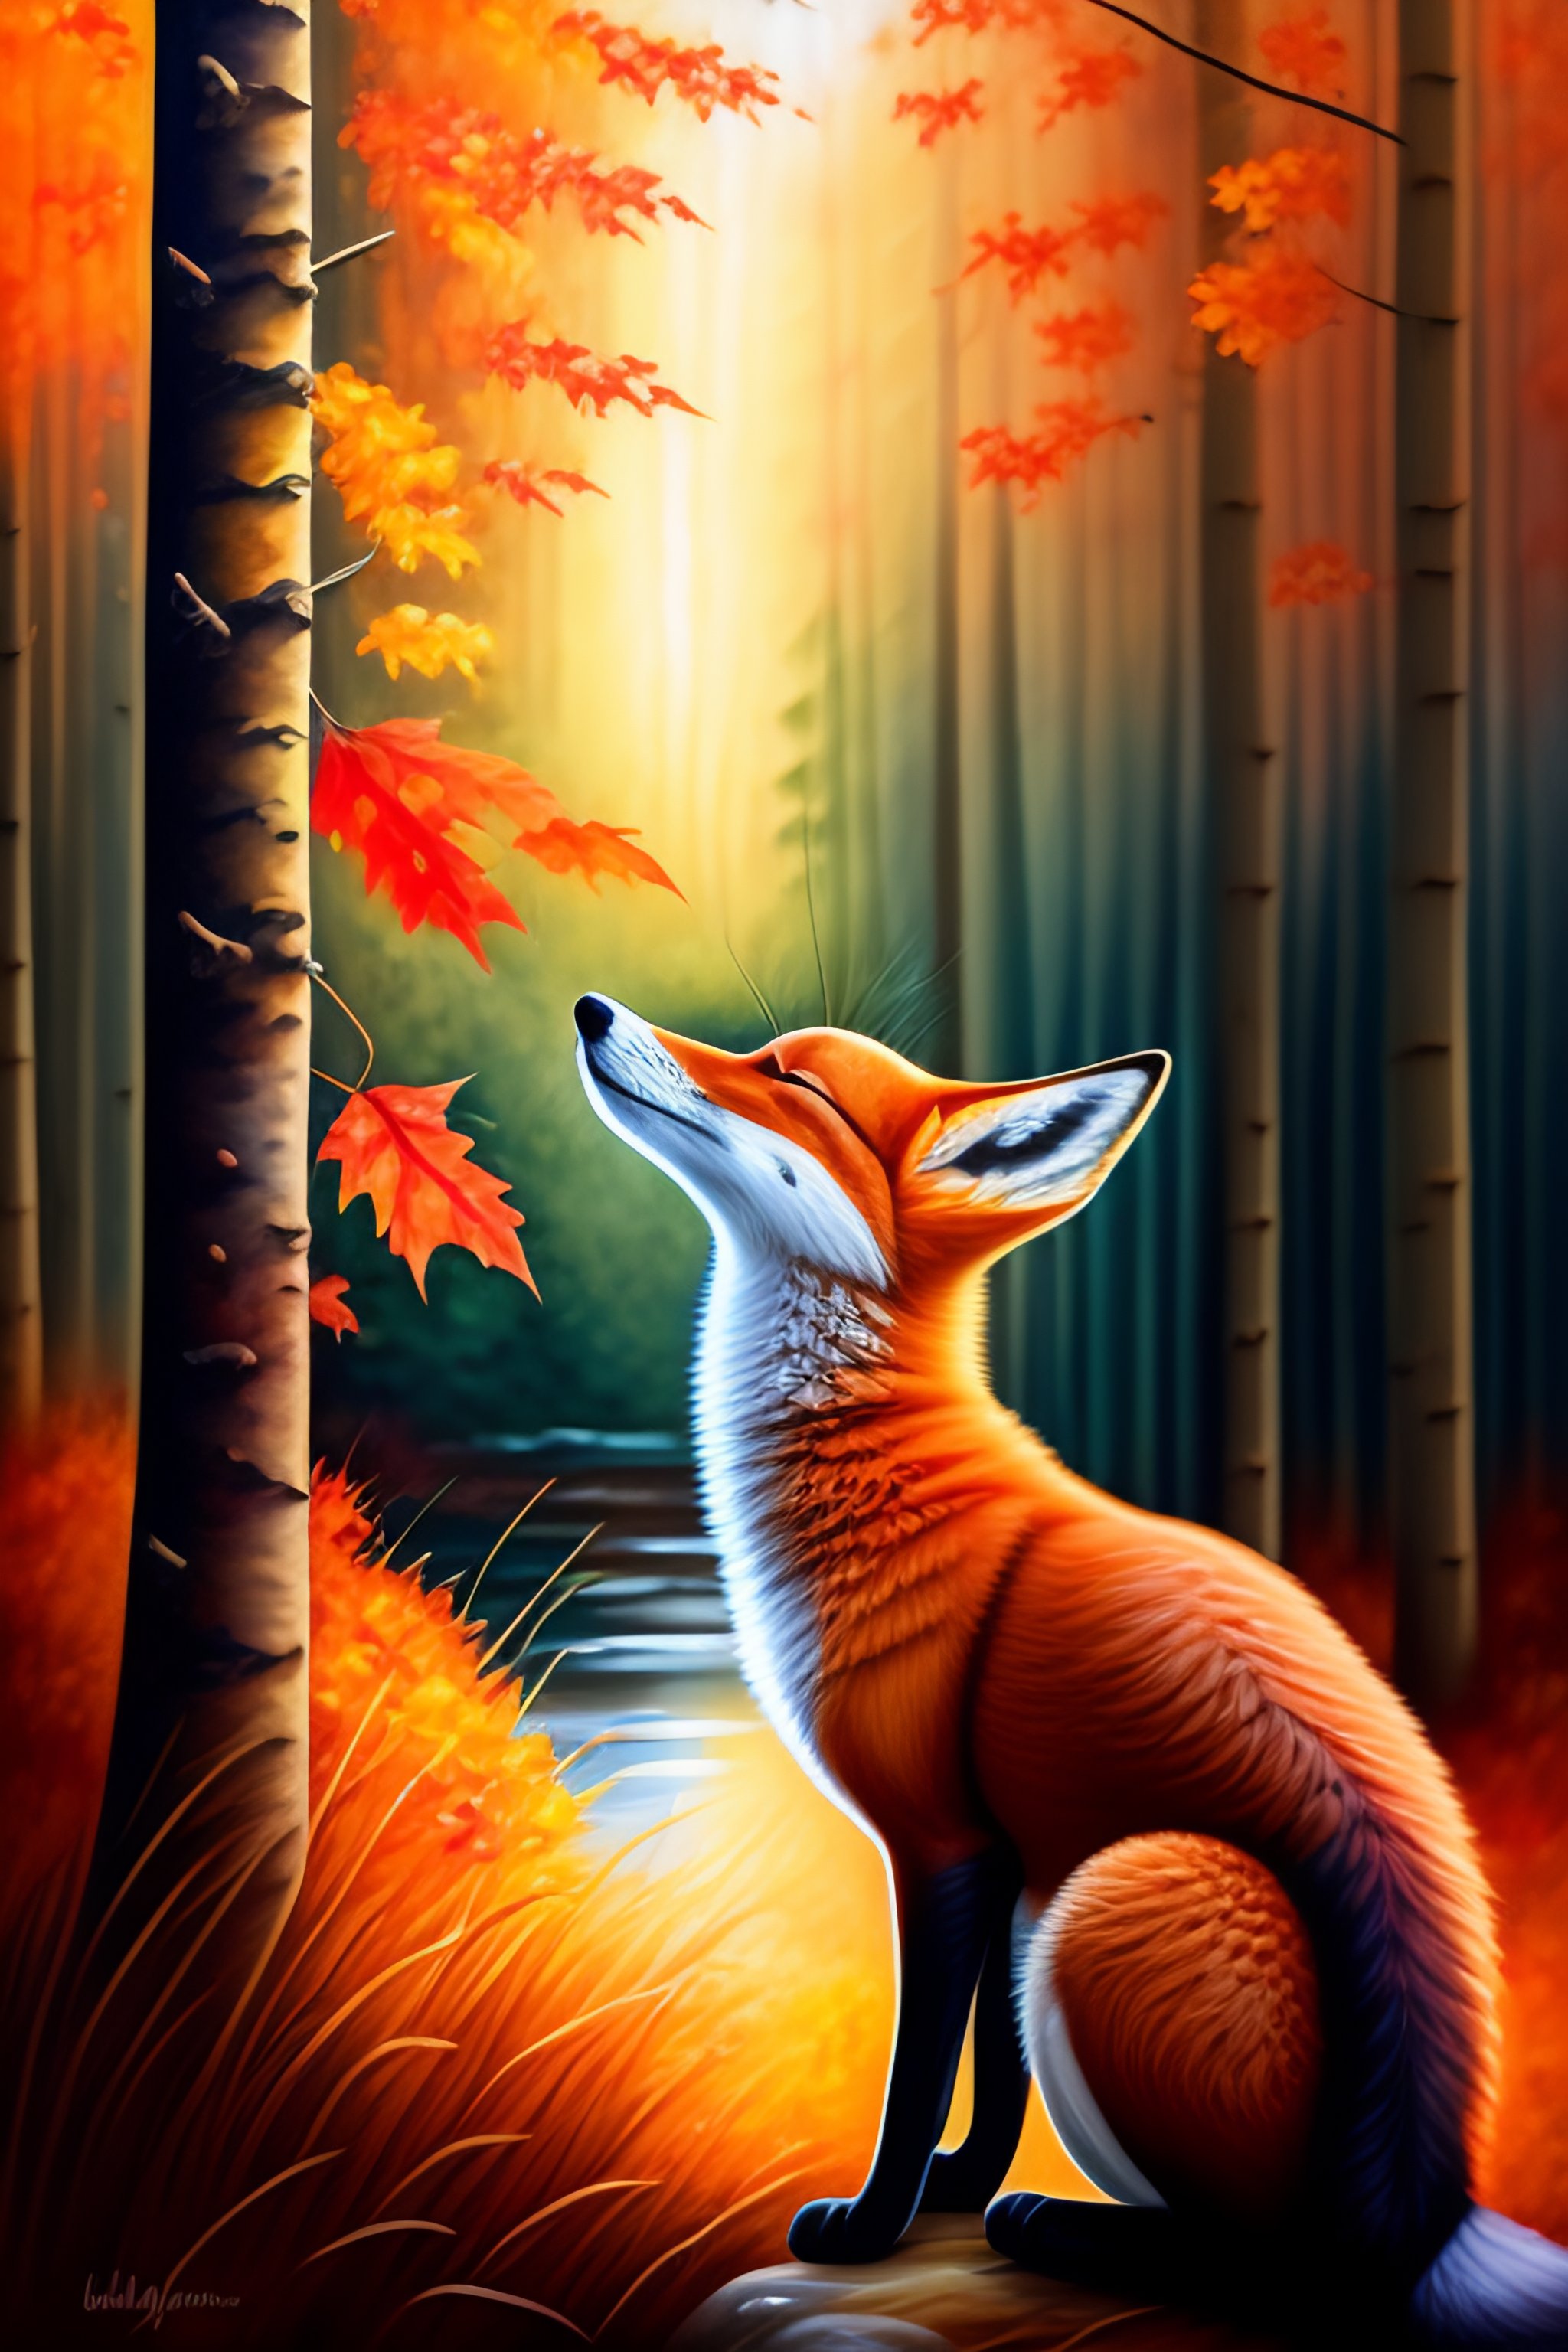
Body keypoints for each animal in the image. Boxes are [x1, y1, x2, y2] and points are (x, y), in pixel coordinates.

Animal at [574, 991, 1568, 2344]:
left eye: (795, 1082)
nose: (590, 1008)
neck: (894, 1484)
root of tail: (1425, 2224)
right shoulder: (1010, 1858)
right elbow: (990, 2087)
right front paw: (951, 2188)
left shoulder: (946, 1845)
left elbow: (917, 2073)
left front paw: (874, 2225)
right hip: (1069, 1907)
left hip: (1115, 1898)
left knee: (1268, 2272)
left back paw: (1058, 2226)